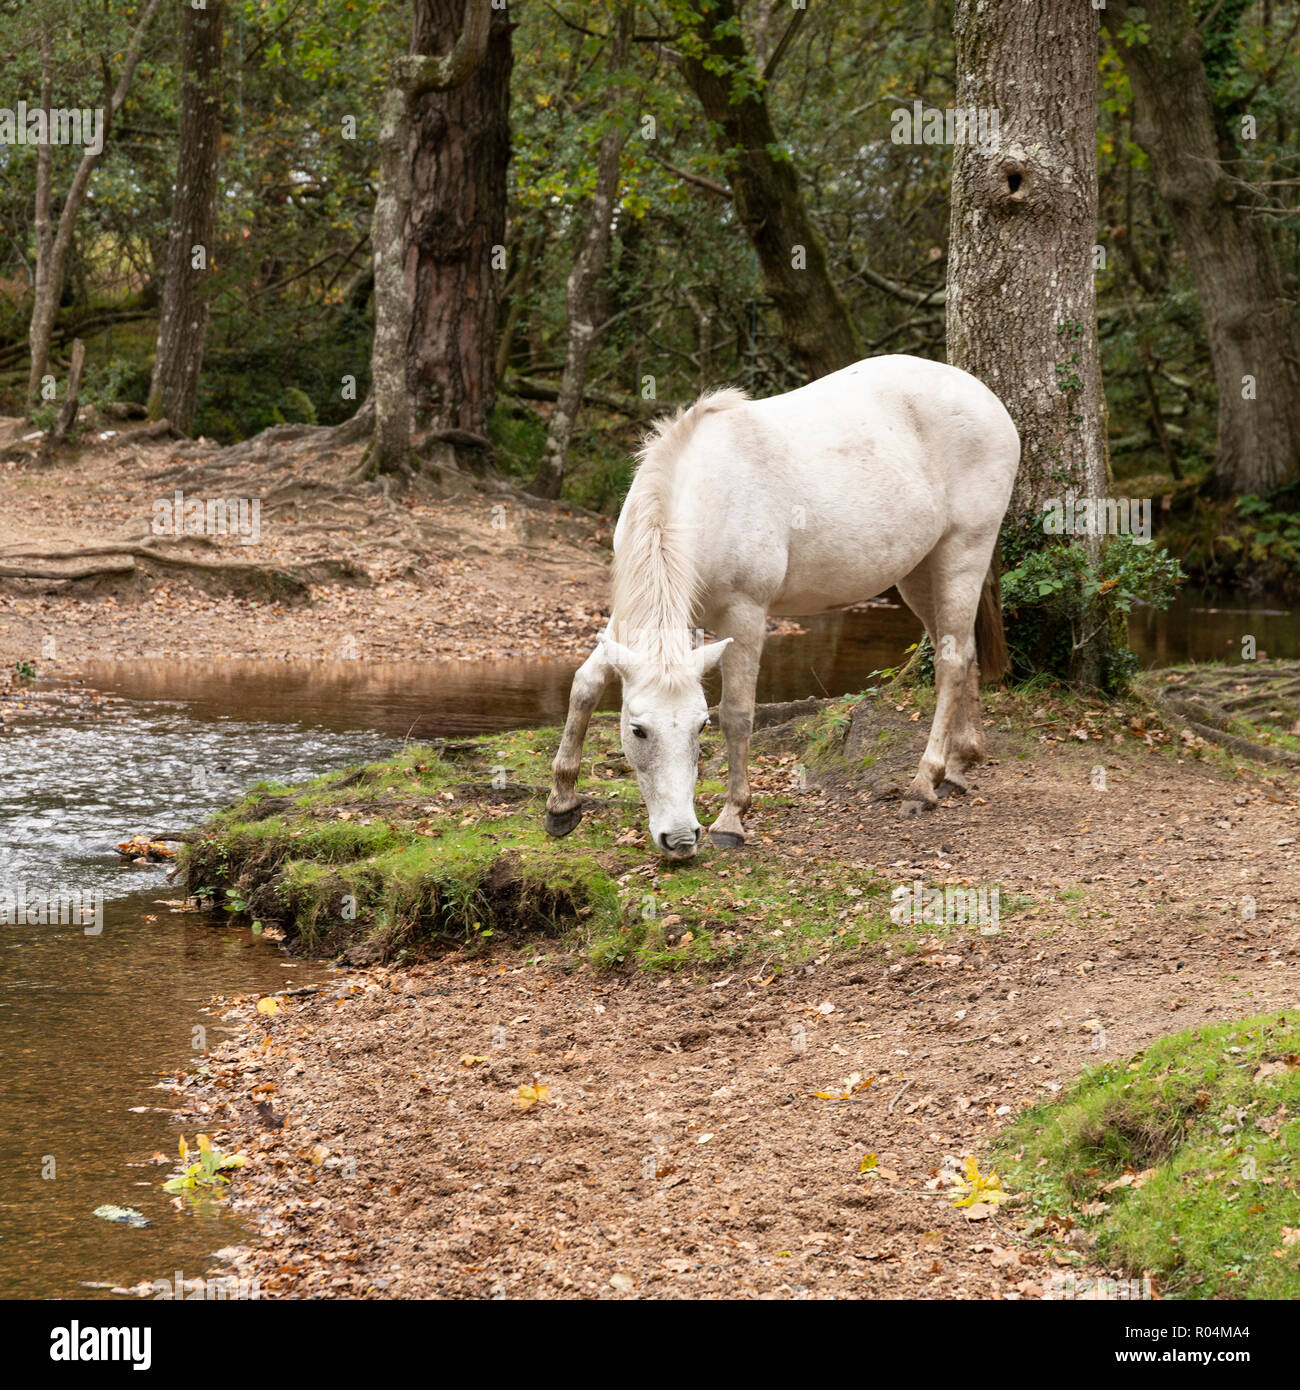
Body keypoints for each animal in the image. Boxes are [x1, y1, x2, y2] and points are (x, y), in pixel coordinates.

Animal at [543, 355, 1020, 859]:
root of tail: (985, 397)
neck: (709, 495)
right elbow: (585, 684)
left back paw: (924, 783)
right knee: (963, 652)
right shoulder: (625, 622)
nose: (681, 838)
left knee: (950, 662)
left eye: (699, 727)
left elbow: (738, 714)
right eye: (638, 730)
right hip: (918, 574)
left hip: (962, 554)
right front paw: (561, 803)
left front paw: (732, 819)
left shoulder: (746, 614)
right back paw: (960, 764)